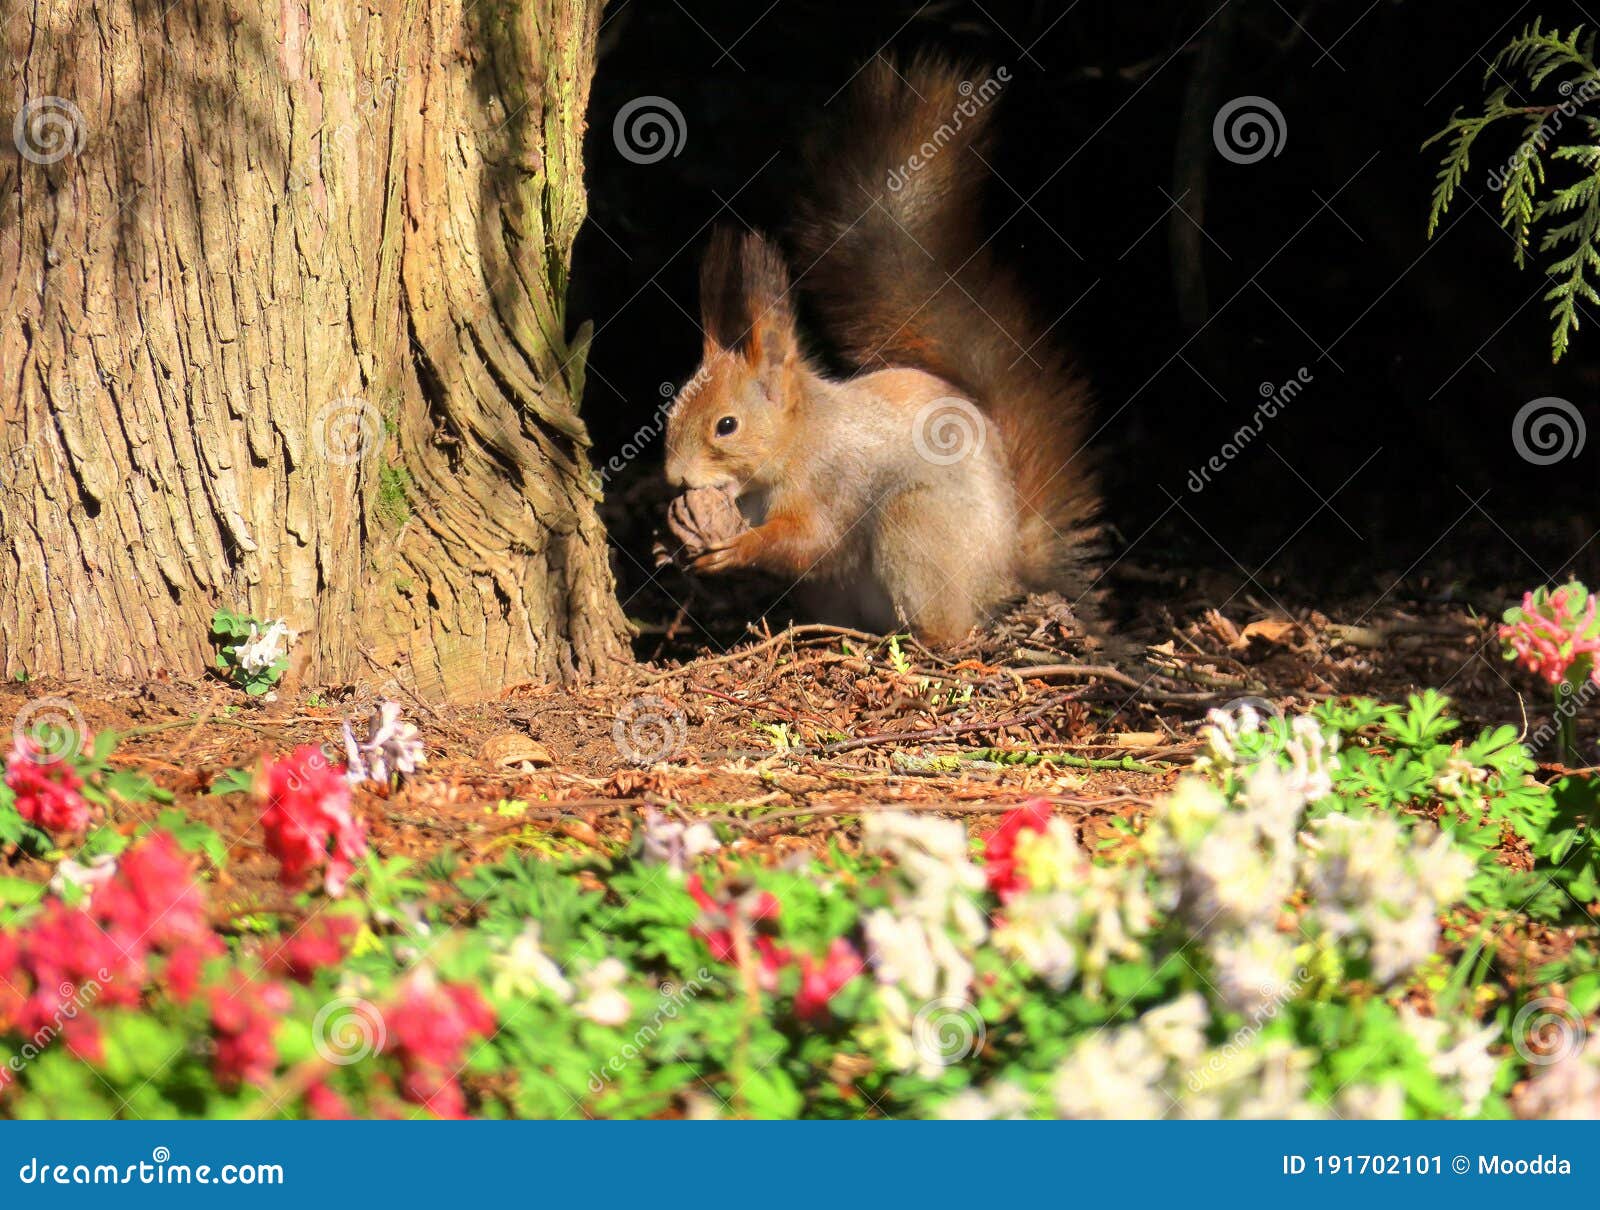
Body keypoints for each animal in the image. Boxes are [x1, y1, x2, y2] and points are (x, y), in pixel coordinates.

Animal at [663, 55, 1100, 645]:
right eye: (670, 411)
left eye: (726, 425)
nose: (675, 479)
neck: (800, 438)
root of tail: (1008, 563)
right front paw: (668, 544)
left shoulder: (832, 483)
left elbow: (812, 541)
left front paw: (738, 547)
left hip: (914, 522)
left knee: (950, 627)